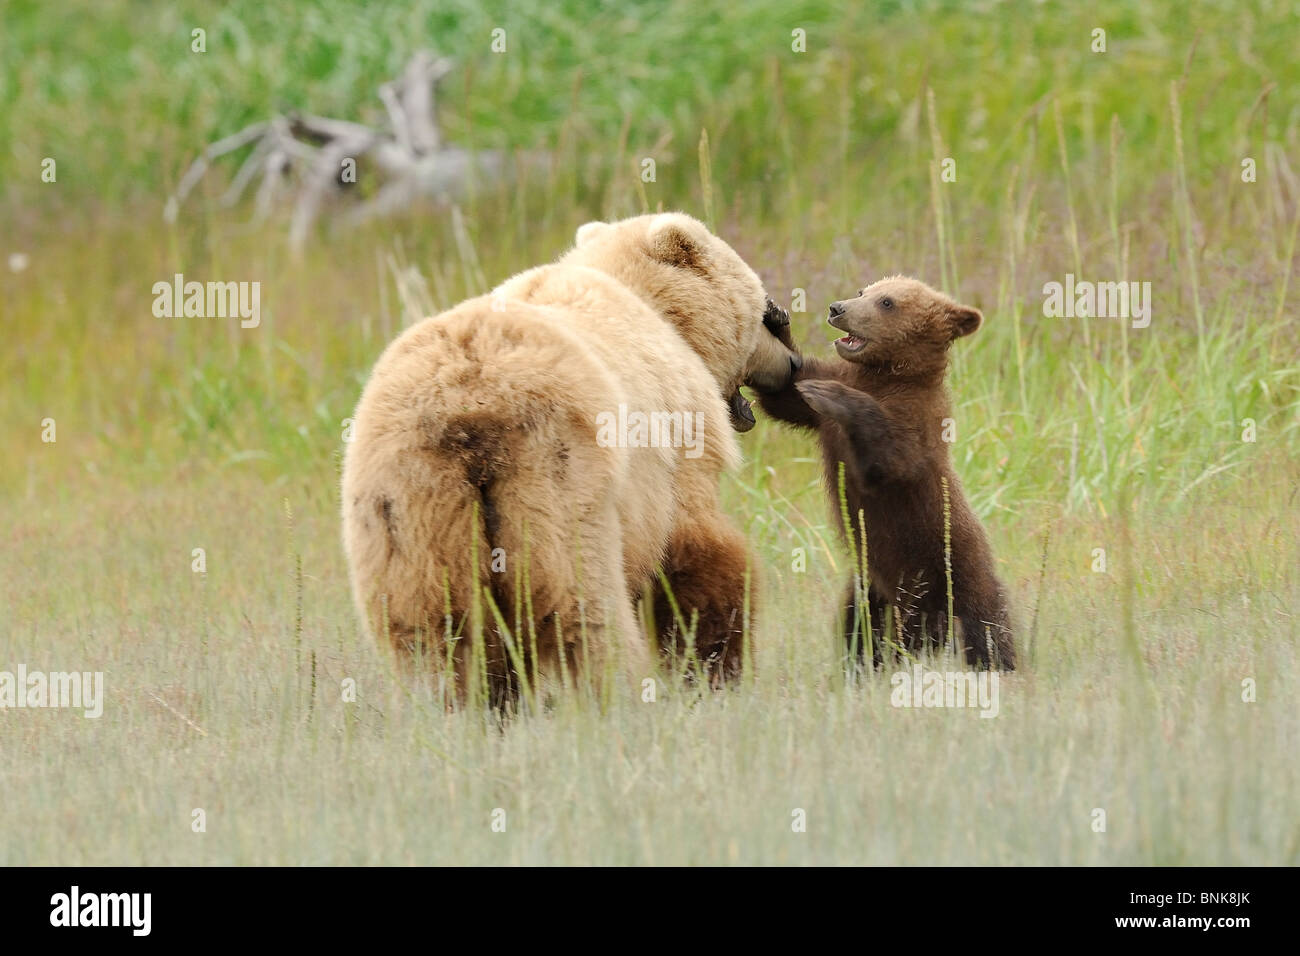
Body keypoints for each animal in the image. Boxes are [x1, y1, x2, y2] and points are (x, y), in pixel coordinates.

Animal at [341, 212, 801, 704]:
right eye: (763, 312)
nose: (792, 363)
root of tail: (468, 414)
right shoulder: (676, 434)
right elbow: (698, 549)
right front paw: (714, 668)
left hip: (410, 506)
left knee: (432, 632)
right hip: (556, 482)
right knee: (584, 615)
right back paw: (615, 697)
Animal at [755, 276, 1016, 670]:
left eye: (888, 302)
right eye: (864, 291)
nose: (837, 308)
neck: (886, 374)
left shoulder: (917, 423)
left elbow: (886, 459)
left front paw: (832, 394)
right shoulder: (824, 405)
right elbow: (784, 389)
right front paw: (774, 317)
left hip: (947, 577)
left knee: (983, 629)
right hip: (869, 589)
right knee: (858, 629)